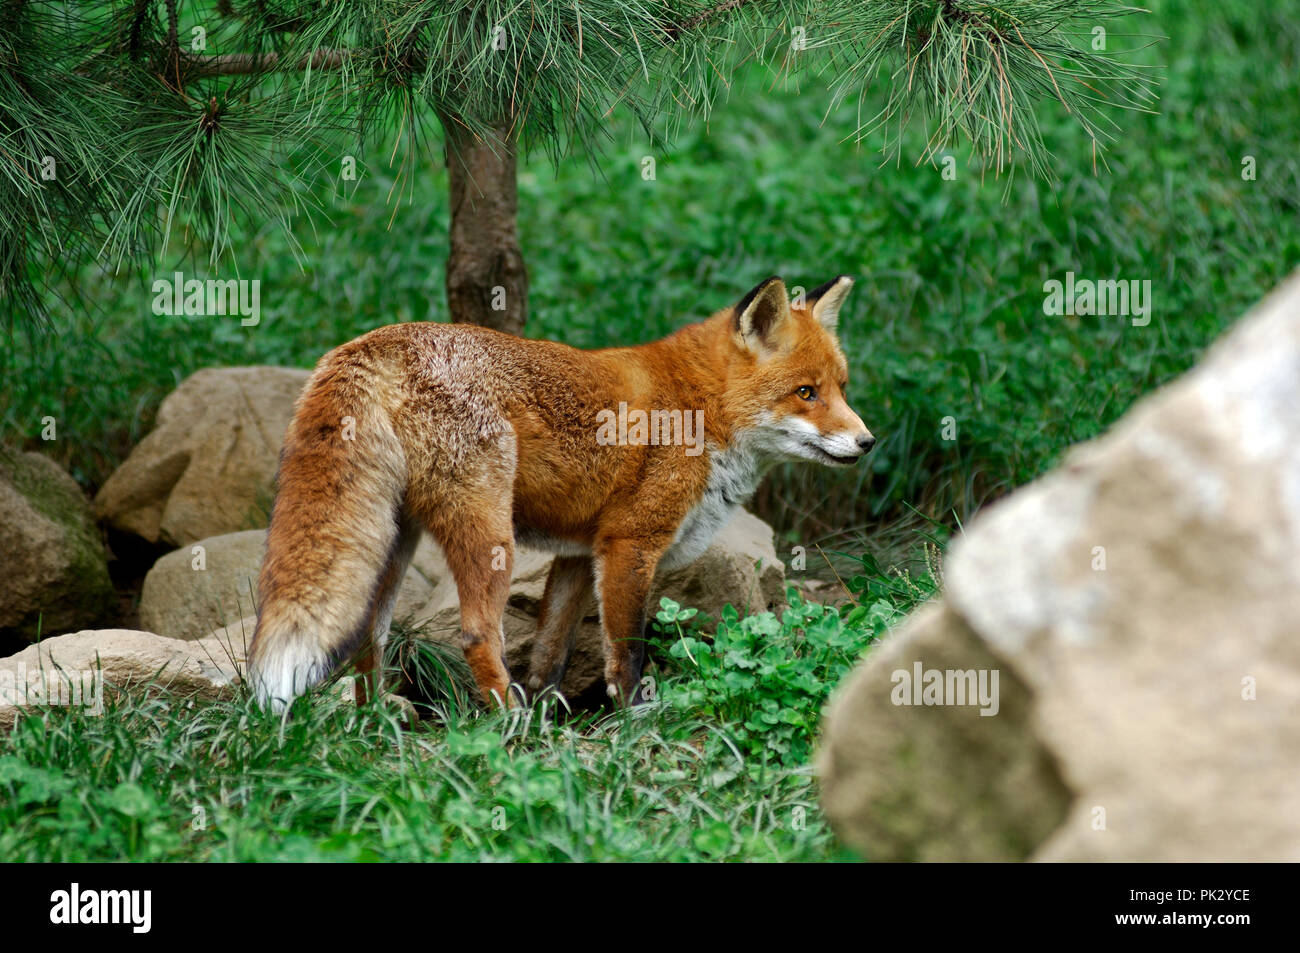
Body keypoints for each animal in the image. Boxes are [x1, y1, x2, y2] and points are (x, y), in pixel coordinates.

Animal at [247, 275, 875, 712]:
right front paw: (634, 724)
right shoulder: (629, 544)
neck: (700, 408)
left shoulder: (578, 554)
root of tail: (375, 341)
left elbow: (551, 655)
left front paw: (557, 721)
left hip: (392, 541)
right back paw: (508, 724)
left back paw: (378, 722)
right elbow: (627, 655)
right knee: (478, 634)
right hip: (490, 537)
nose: (867, 442)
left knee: (367, 639)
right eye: (806, 392)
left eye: (843, 389)